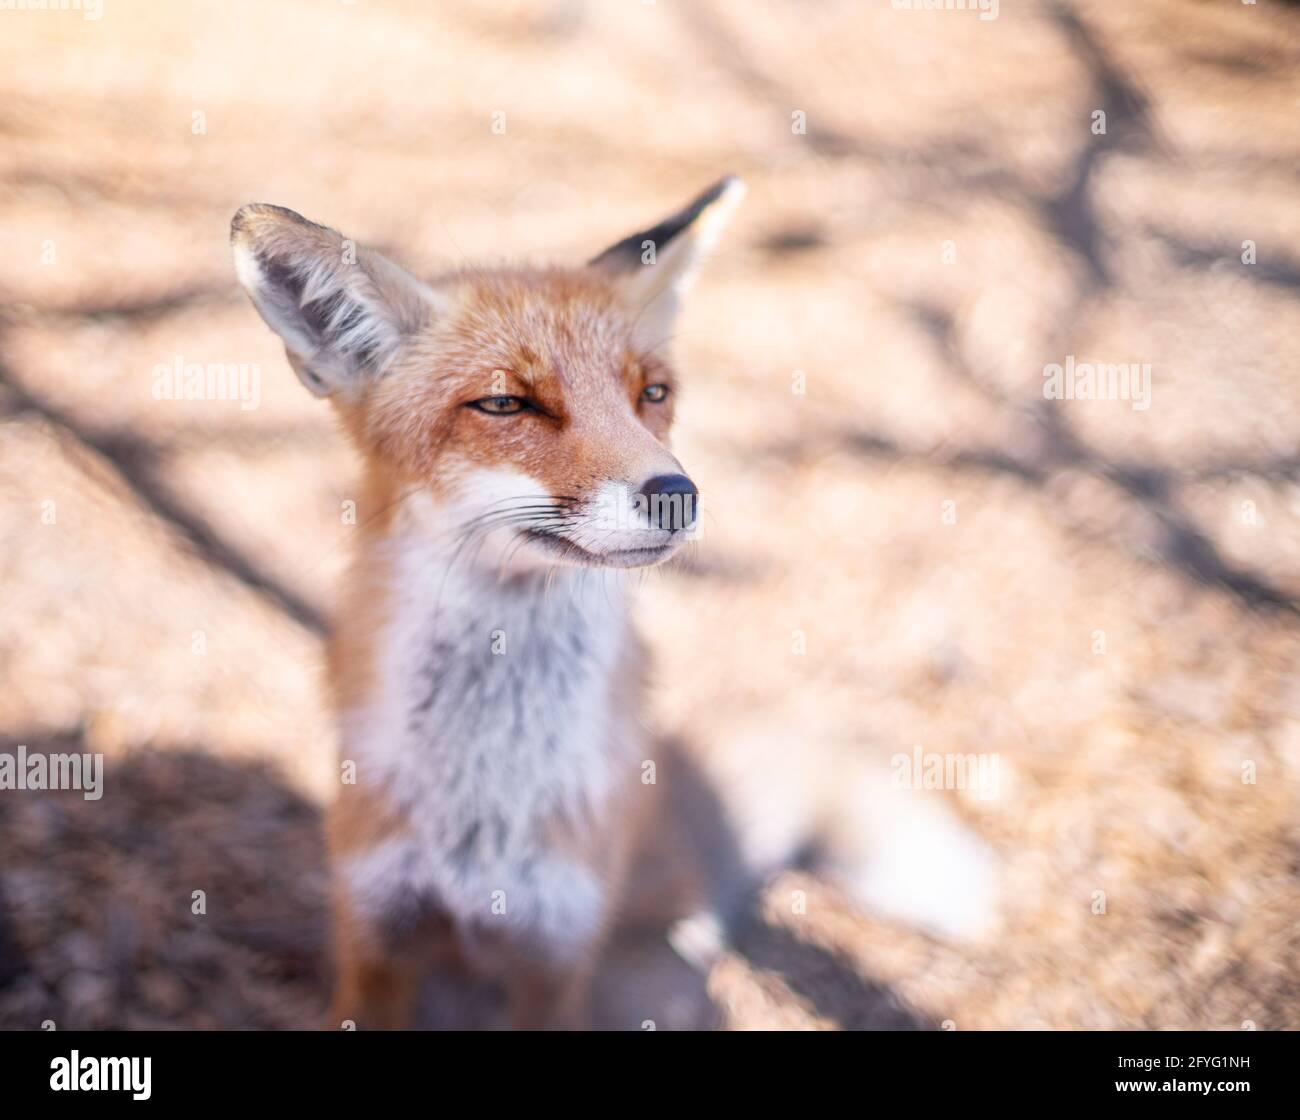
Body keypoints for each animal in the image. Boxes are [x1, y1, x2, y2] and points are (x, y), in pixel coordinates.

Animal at [229, 177, 745, 1029]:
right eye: (507, 405)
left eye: (652, 393)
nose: (677, 493)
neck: (481, 811)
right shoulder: (377, 933)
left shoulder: (554, 956)